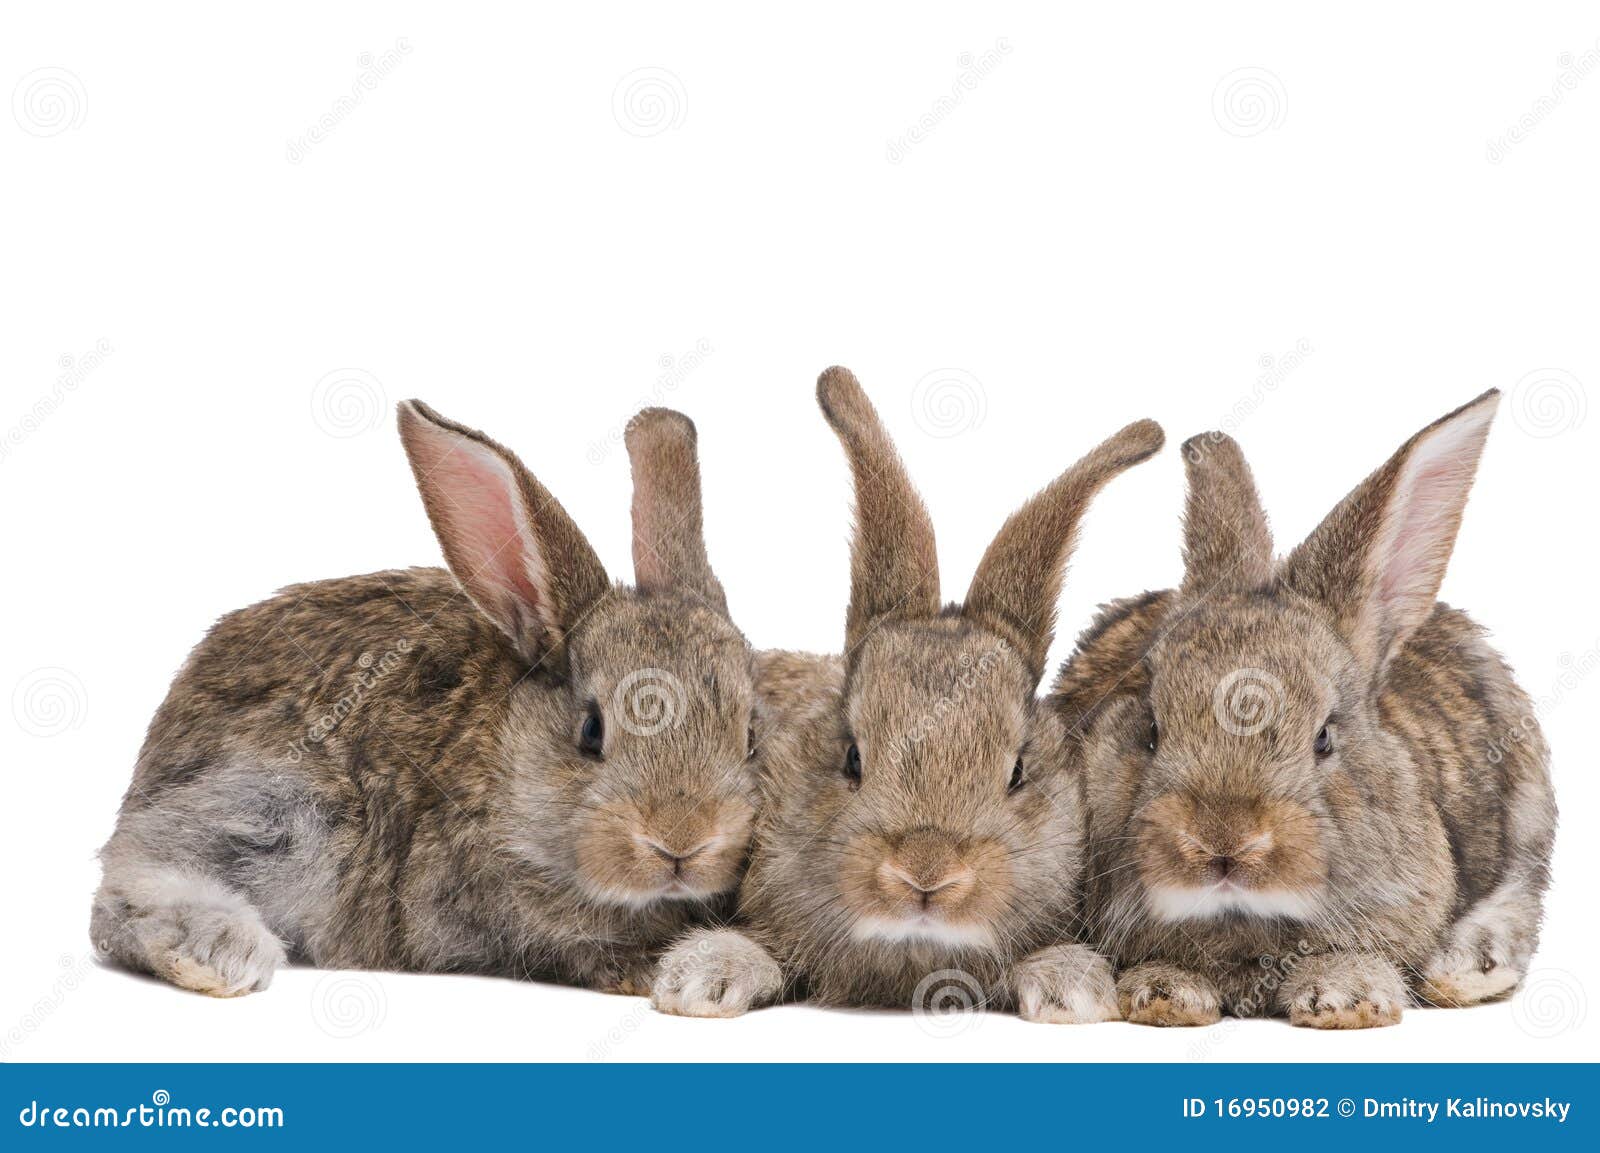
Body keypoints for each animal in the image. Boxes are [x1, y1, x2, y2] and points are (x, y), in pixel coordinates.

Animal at [1050, 390, 1556, 1029]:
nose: (1224, 842)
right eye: (1151, 729)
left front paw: (1346, 997)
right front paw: (1167, 995)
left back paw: (1466, 970)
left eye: (1324, 738)